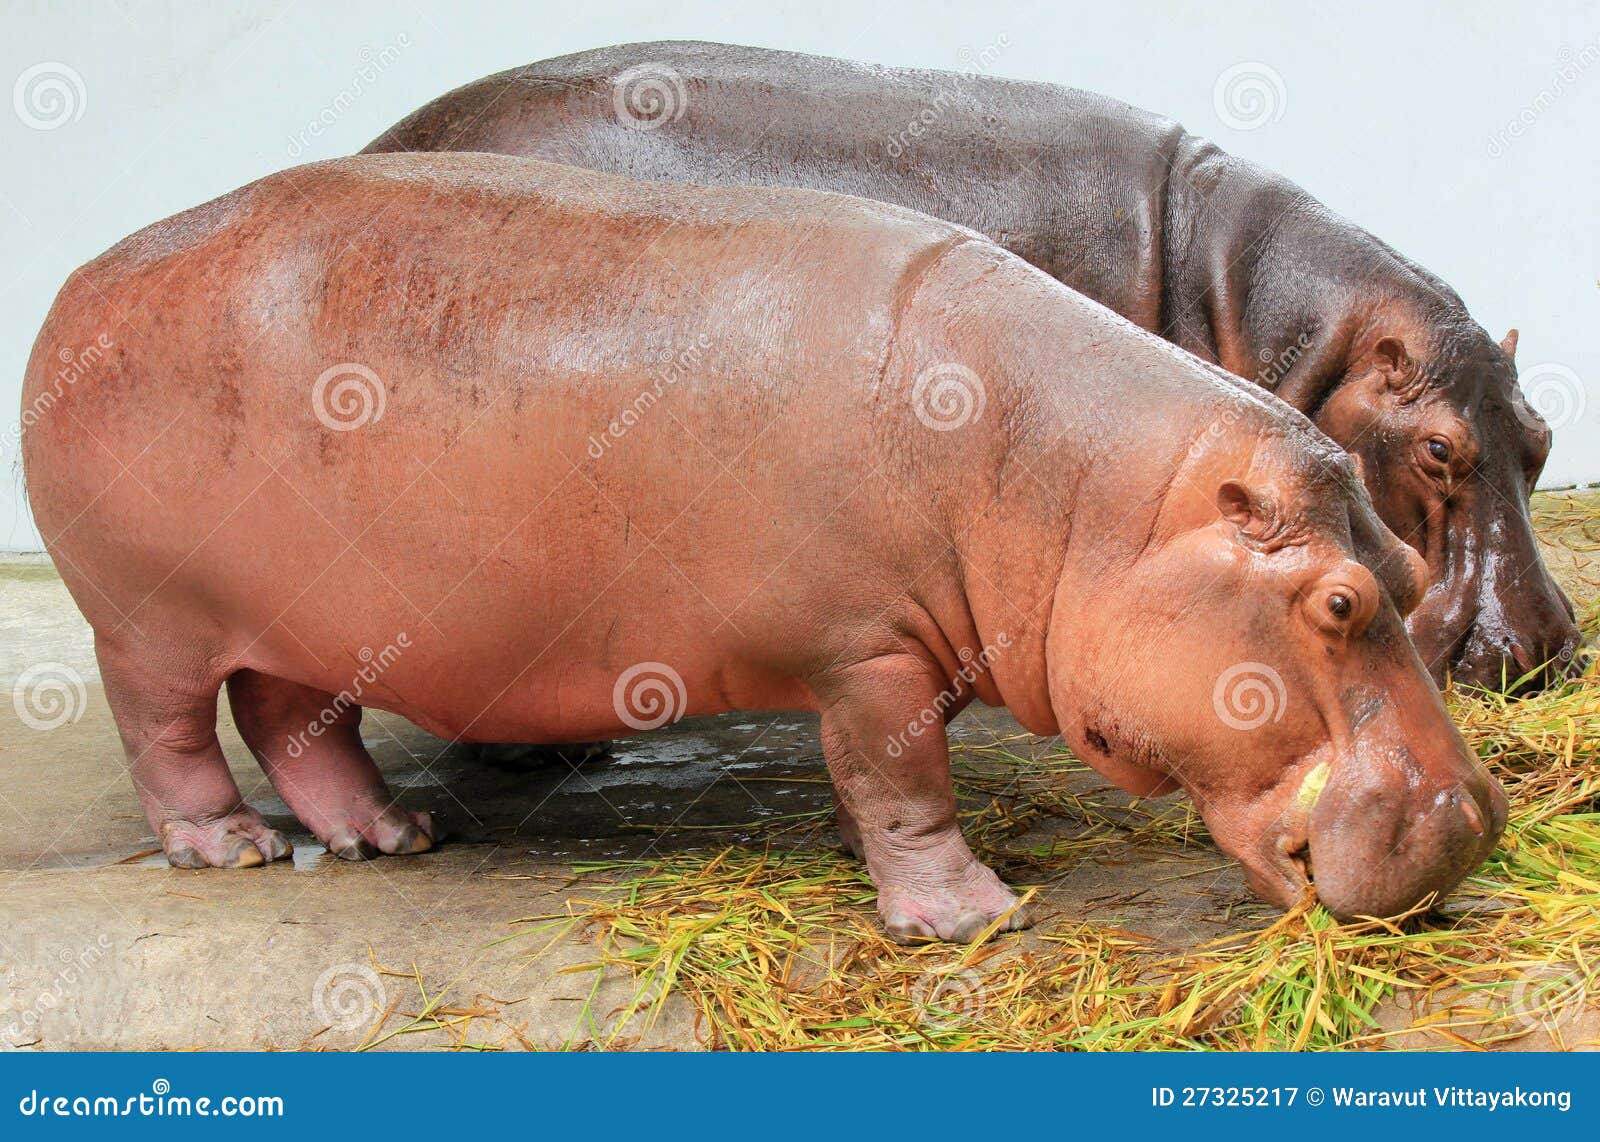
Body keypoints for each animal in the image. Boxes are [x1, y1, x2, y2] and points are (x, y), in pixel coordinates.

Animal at [22, 153, 1503, 939]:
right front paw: (973, 917)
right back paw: (231, 851)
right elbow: (903, 785)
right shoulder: (869, 650)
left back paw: (396, 833)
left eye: (1408, 572)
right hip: (150, 618)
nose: (1474, 823)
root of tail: (77, 282)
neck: (1089, 497)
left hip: (304, 616)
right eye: (1337, 602)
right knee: (169, 734)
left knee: (293, 719)